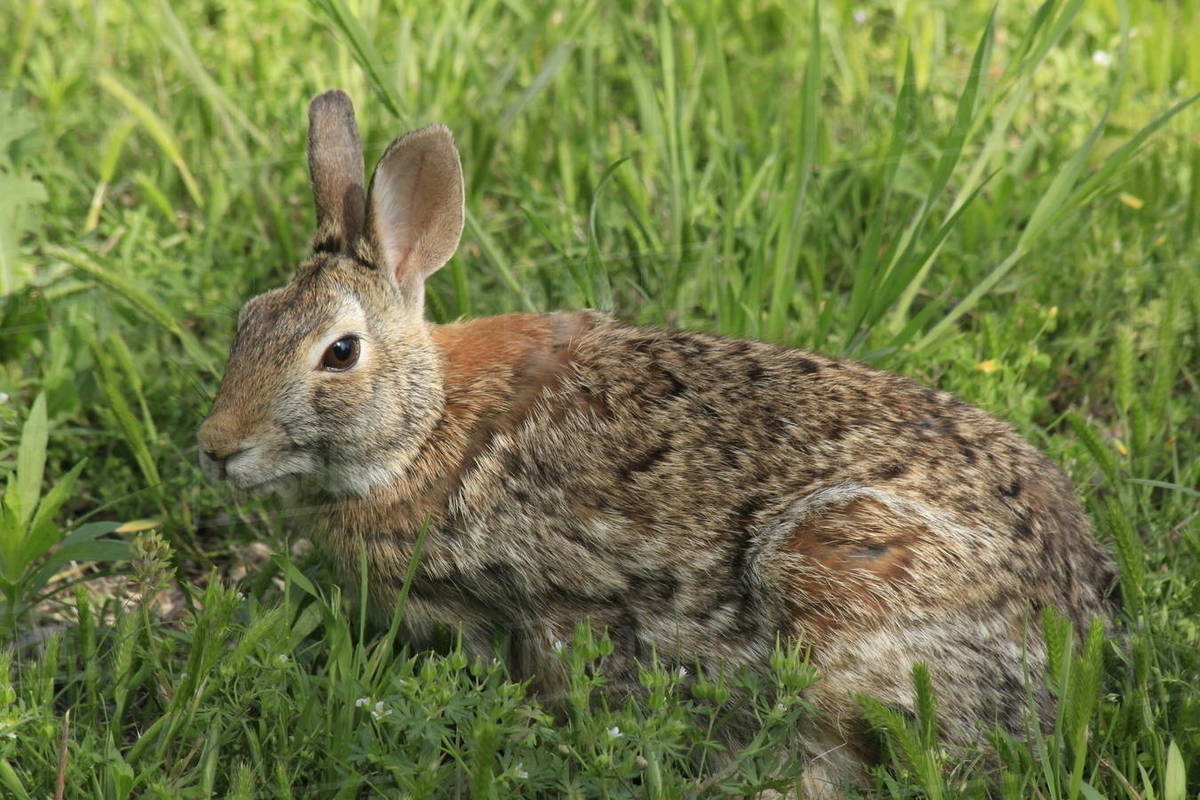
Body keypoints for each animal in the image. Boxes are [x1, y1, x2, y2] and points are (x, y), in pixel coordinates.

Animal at [198, 89, 1118, 798]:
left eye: (339, 353)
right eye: (248, 319)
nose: (215, 446)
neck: (425, 425)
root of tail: (1072, 645)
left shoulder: (555, 608)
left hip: (835, 585)